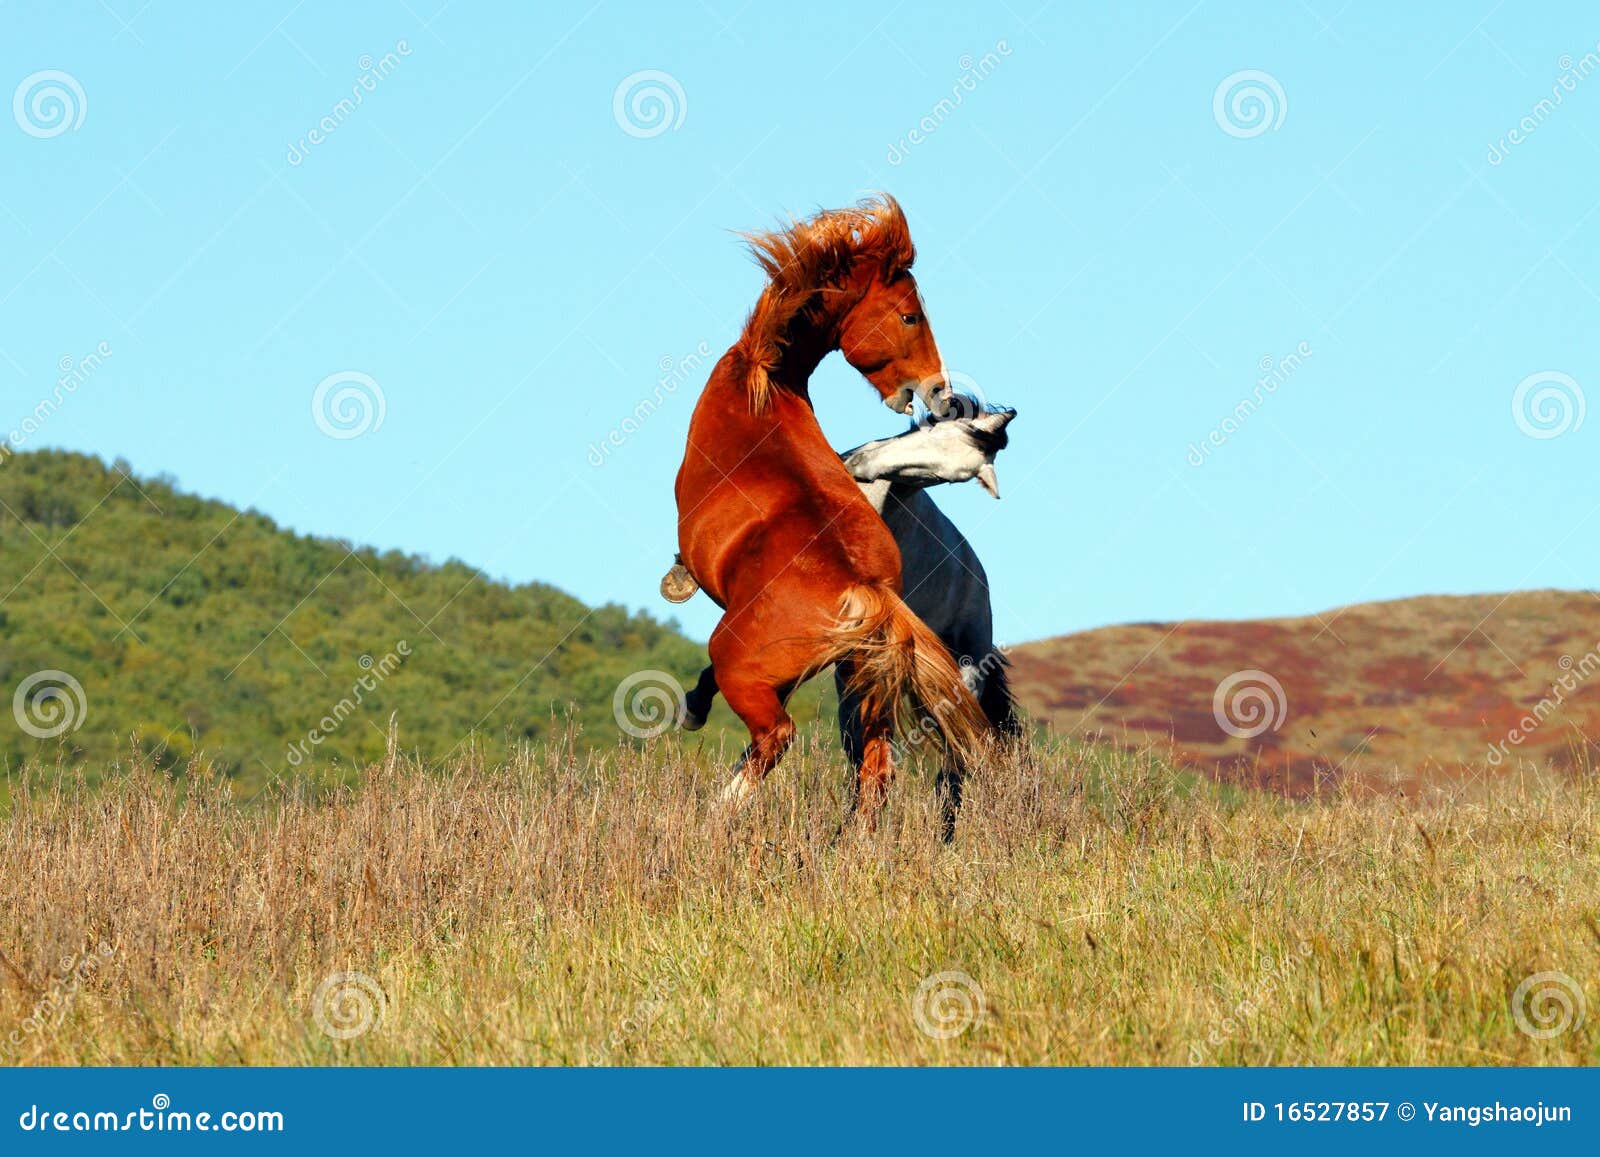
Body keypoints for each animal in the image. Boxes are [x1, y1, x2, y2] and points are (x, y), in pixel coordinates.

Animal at [673, 195, 992, 827]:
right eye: (912, 316)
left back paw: (716, 811)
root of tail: (865, 591)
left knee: (775, 737)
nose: (941, 393)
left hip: (749, 672)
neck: (767, 383)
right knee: (874, 770)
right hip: (865, 690)